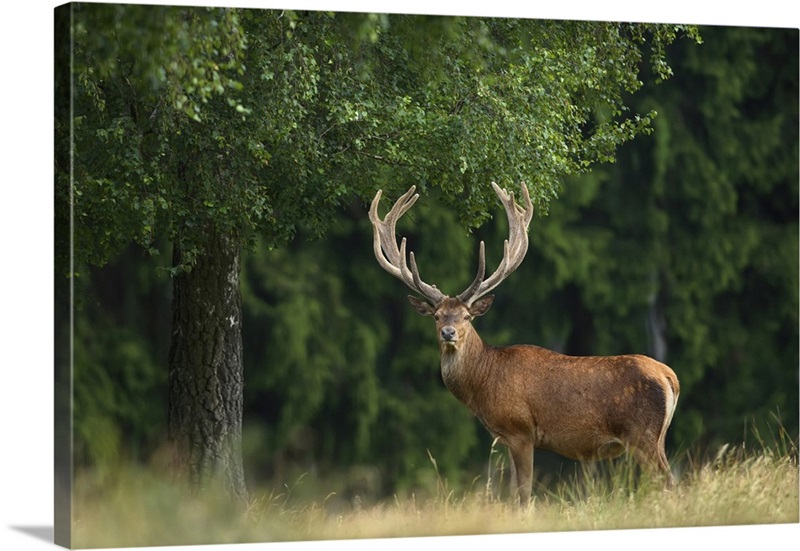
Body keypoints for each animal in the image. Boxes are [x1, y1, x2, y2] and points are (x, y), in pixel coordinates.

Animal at [368, 182, 680, 504]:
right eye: (437, 316)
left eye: (467, 316)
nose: (449, 333)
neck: (484, 382)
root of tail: (670, 377)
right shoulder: (506, 438)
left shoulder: (520, 430)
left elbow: (523, 494)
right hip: (653, 438)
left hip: (643, 435)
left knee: (669, 482)